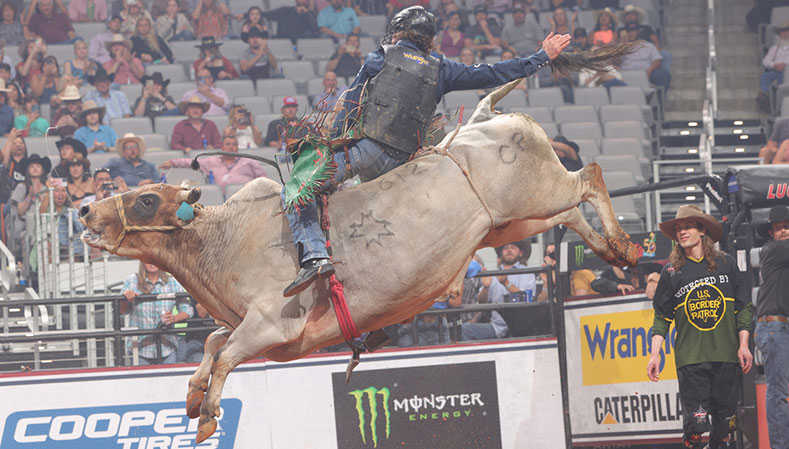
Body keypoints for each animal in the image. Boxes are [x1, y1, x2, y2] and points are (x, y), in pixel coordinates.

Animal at [79, 79, 642, 443]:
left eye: (146, 201)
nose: (85, 208)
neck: (223, 239)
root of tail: (483, 118)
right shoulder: (242, 323)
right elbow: (215, 343)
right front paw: (194, 397)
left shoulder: (270, 328)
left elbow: (225, 353)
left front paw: (208, 416)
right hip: (513, 221)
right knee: (570, 215)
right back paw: (611, 249)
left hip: (537, 193)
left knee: (589, 176)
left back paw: (627, 246)